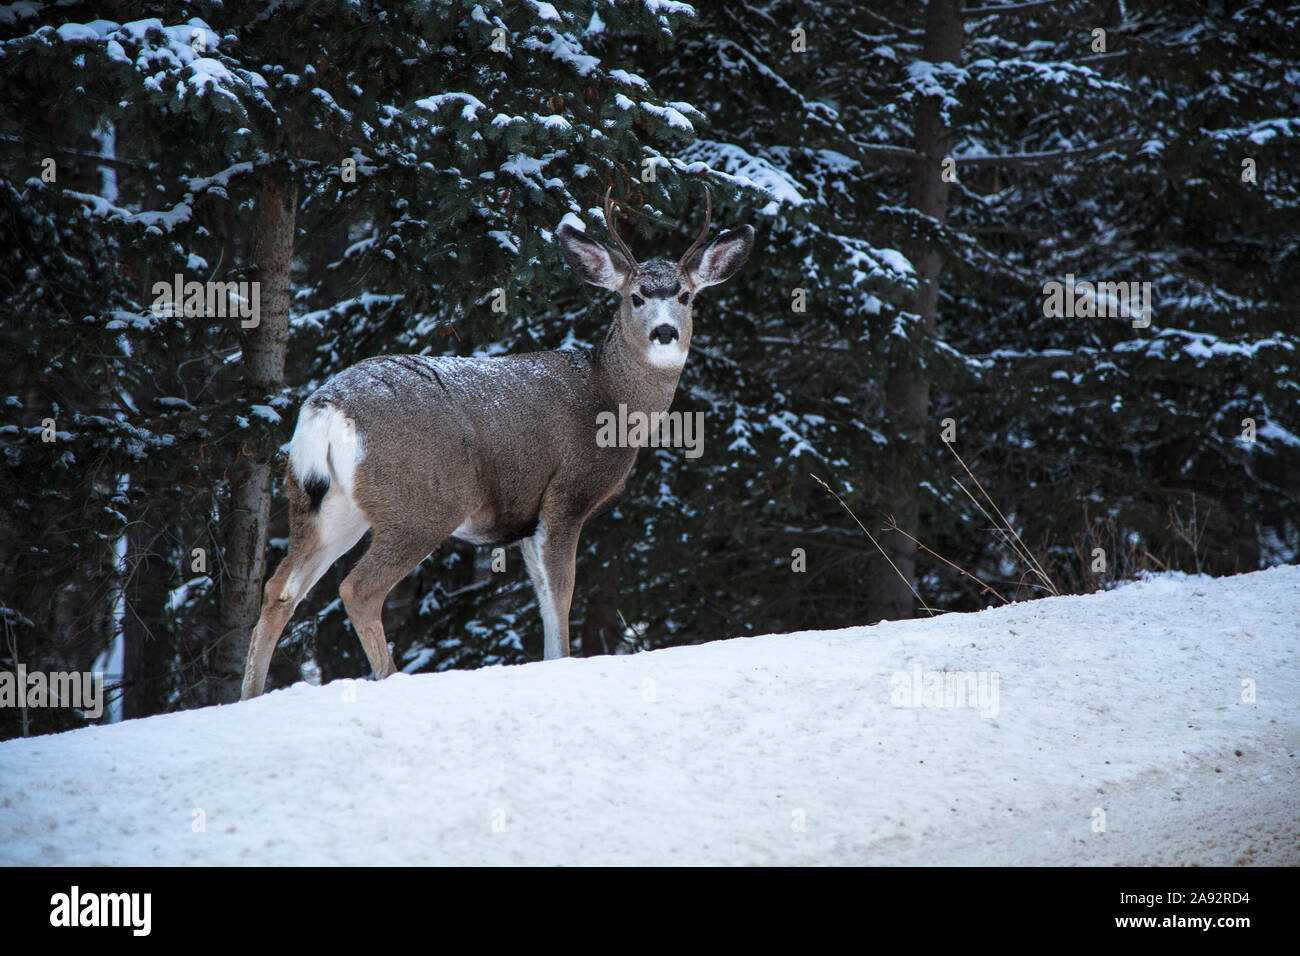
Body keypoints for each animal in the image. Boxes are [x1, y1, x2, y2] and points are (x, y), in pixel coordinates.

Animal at [240, 186, 754, 699]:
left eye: (685, 295)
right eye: (636, 296)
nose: (665, 332)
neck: (610, 395)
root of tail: (327, 408)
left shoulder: (525, 519)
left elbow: (545, 598)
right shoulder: (567, 494)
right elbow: (562, 595)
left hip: (324, 504)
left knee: (279, 589)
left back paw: (250, 694)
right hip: (422, 504)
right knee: (358, 590)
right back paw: (391, 678)